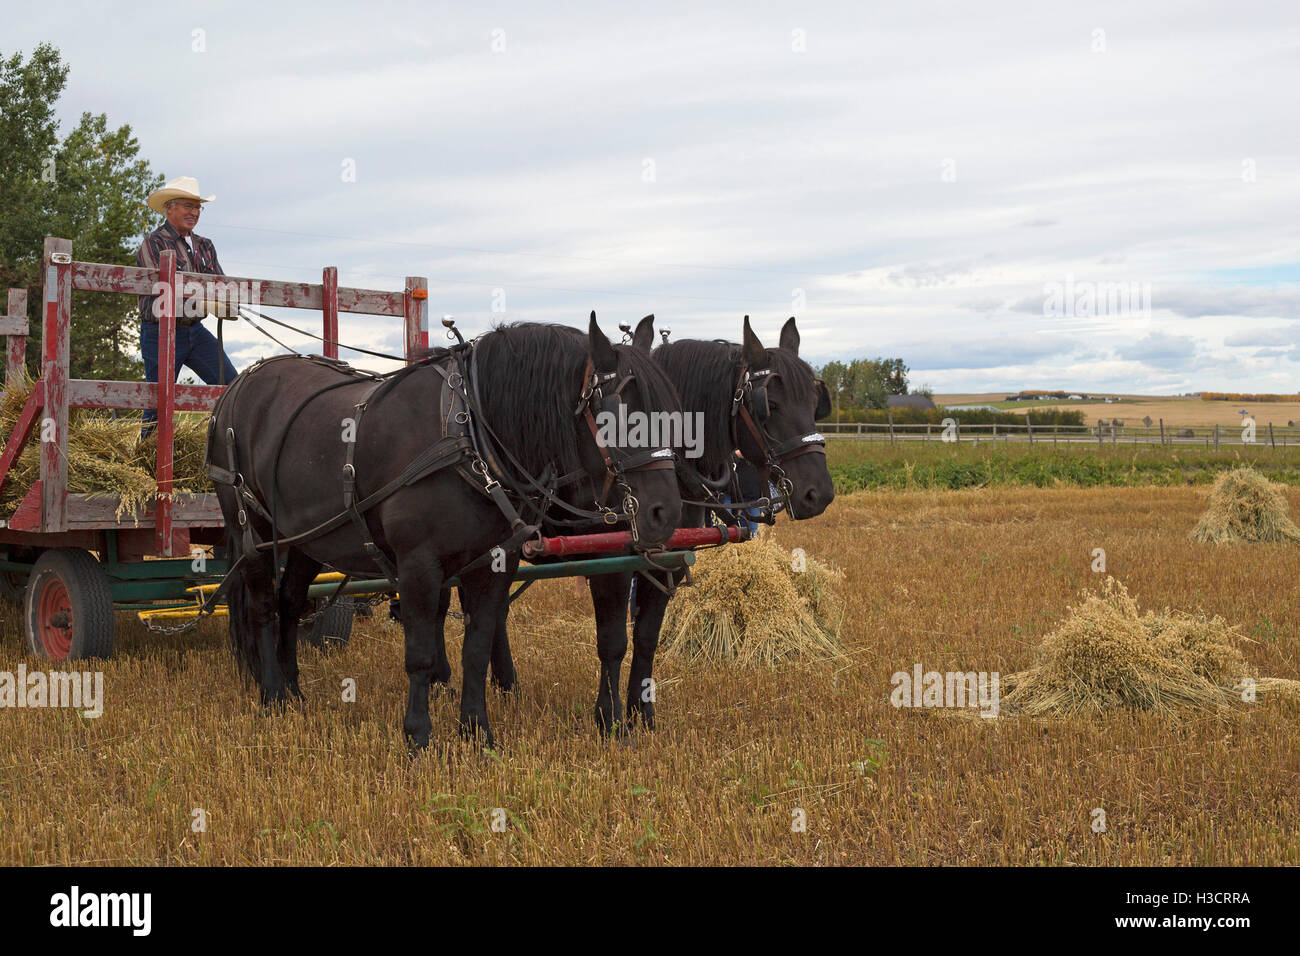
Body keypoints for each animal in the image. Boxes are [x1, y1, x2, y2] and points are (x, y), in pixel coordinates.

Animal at [208, 314, 682, 750]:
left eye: (672, 416)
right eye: (619, 415)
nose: (666, 514)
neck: (469, 433)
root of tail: (239, 384)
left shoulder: (494, 562)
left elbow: (477, 646)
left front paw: (477, 732)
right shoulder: (418, 564)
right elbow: (418, 653)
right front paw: (418, 736)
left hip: (304, 537)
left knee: (290, 602)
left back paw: (293, 689)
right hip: (252, 529)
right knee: (263, 605)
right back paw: (272, 693)